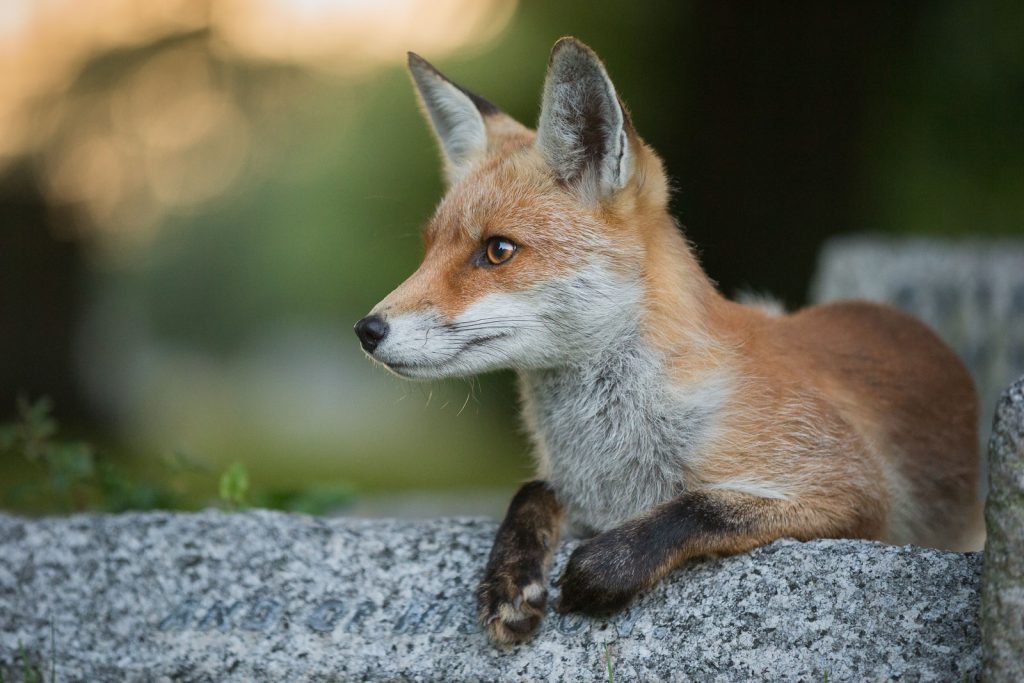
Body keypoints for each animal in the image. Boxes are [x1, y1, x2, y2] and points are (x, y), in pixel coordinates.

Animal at [354, 37, 984, 645]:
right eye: (429, 248)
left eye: (498, 250)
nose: (367, 330)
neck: (617, 453)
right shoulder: (584, 492)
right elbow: (531, 491)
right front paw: (508, 579)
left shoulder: (854, 491)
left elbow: (703, 505)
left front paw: (603, 569)